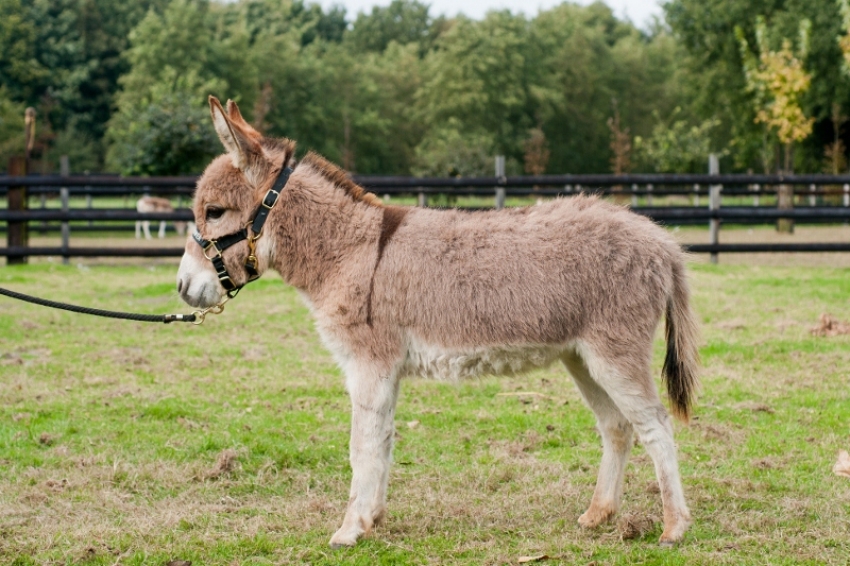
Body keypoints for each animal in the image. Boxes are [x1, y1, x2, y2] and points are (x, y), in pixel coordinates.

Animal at [176, 96, 701, 548]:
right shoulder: (384, 369)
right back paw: (598, 514)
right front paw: (372, 518)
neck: (352, 251)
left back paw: (674, 527)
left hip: (615, 351)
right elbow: (383, 440)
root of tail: (661, 241)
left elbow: (361, 445)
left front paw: (348, 529)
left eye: (215, 212)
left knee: (655, 425)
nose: (182, 288)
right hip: (582, 357)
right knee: (617, 426)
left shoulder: (369, 364)